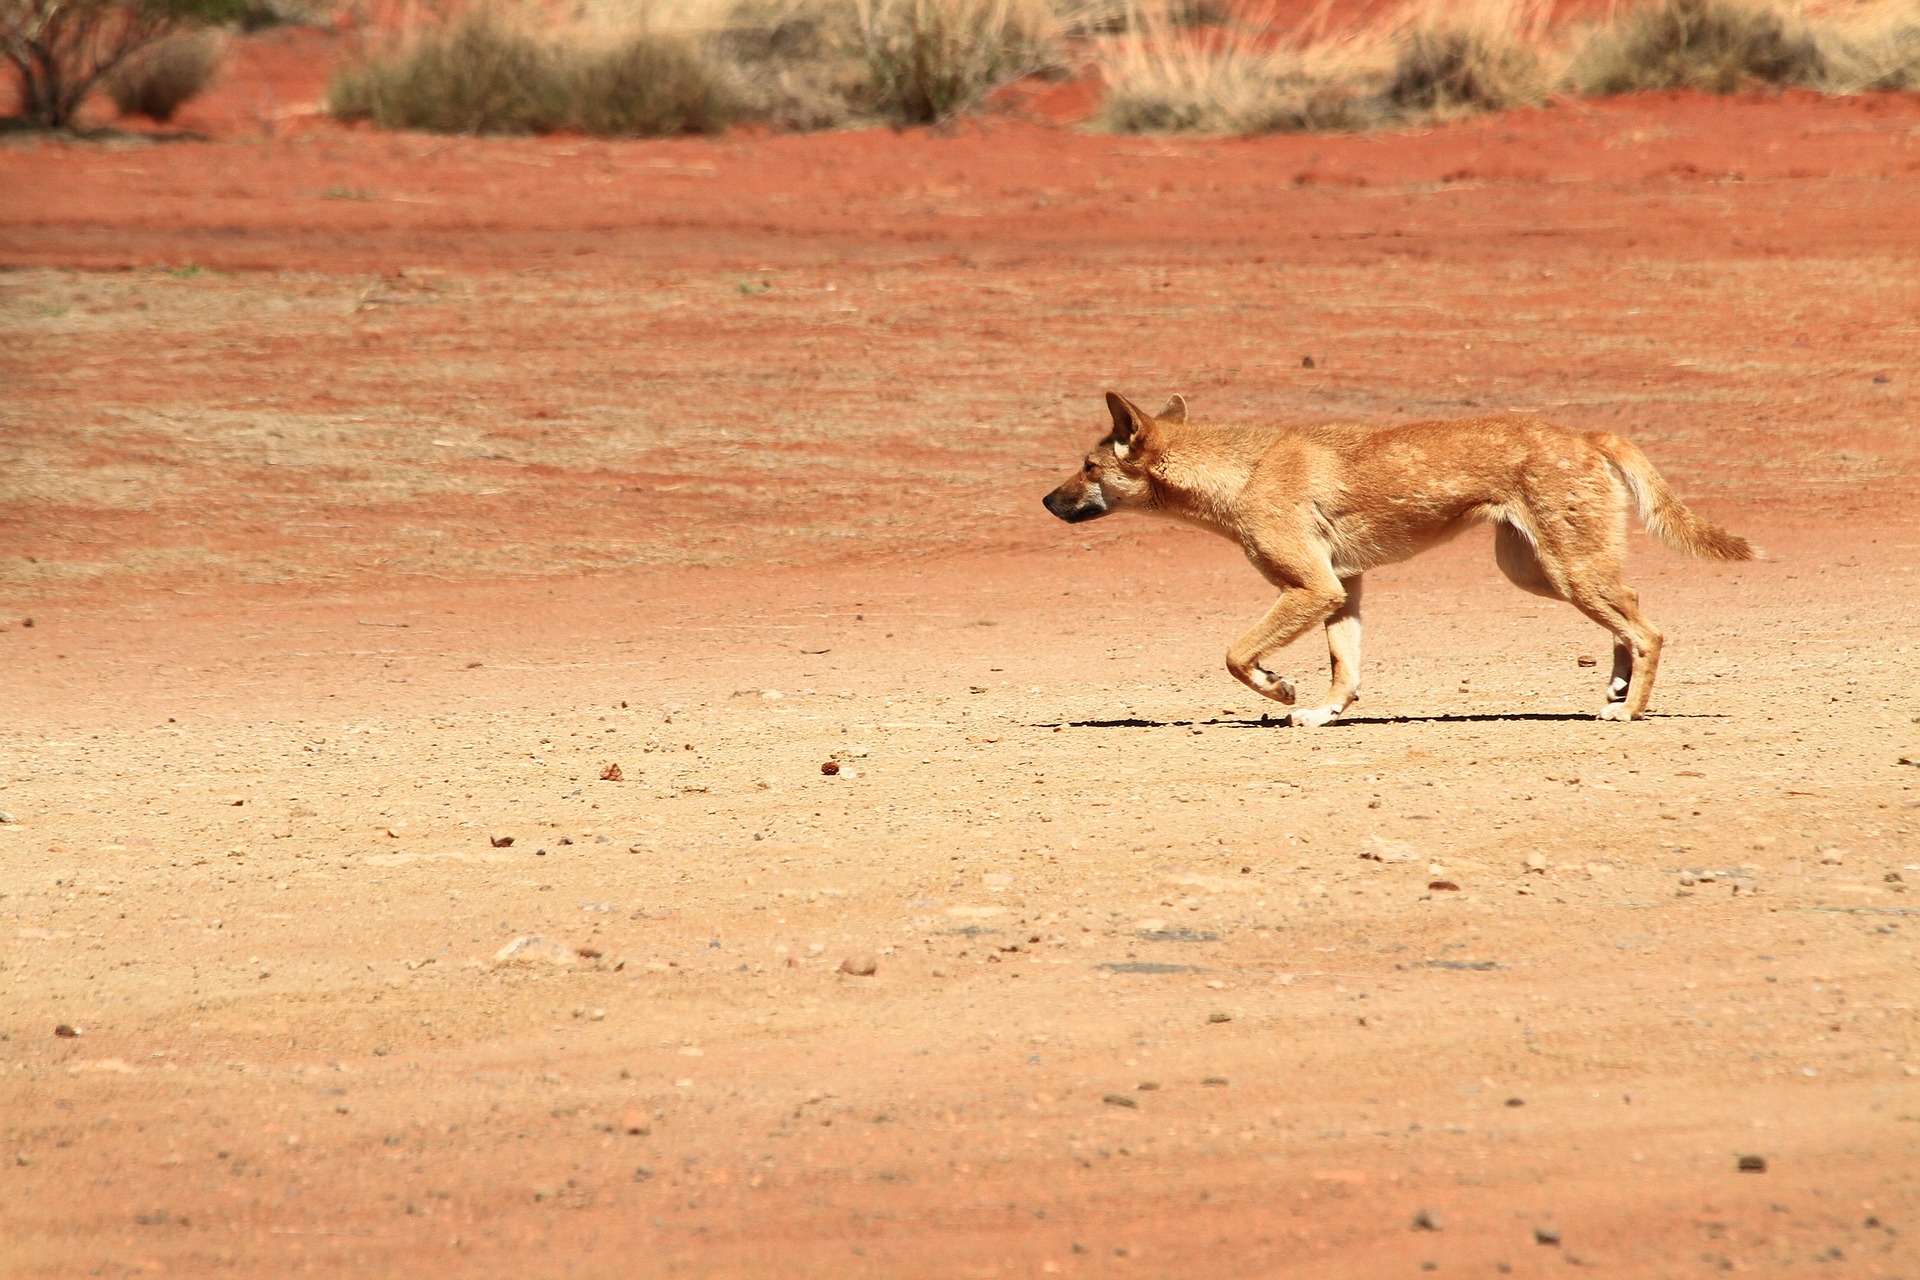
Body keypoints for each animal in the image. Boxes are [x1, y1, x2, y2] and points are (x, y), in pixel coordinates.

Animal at [1042, 392, 1753, 724]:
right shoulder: (1341, 588)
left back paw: (1630, 709)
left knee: (1647, 627)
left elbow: (1236, 655)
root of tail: (1584, 433)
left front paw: (1281, 688)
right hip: (1538, 572)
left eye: (1088, 467)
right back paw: (1618, 687)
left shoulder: (1310, 588)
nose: (1047, 500)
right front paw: (1323, 713)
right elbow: (1346, 669)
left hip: (1565, 570)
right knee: (1628, 616)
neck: (1241, 472)